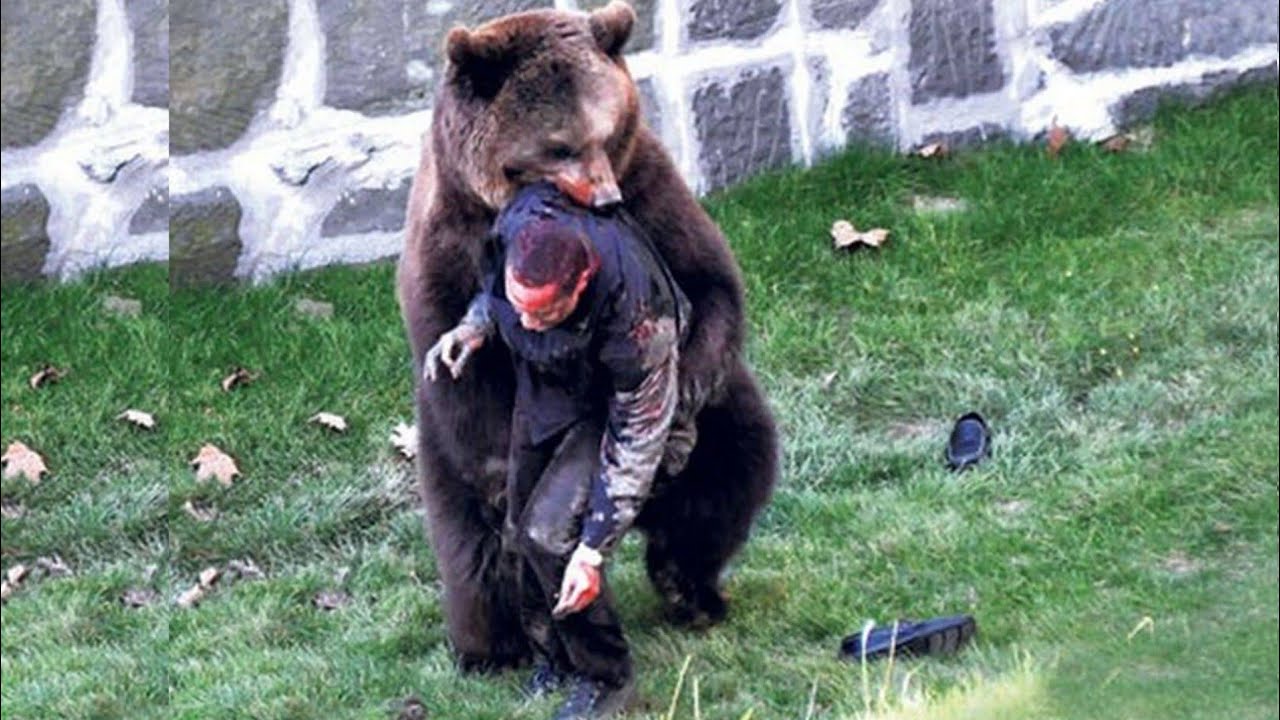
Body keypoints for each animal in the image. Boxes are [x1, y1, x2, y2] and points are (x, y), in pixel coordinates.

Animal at [396, 0, 779, 674]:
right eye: (559, 144)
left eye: (608, 129)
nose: (603, 198)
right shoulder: (448, 245)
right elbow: (463, 369)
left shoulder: (651, 191)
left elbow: (710, 284)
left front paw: (674, 408)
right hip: (441, 459)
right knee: (473, 548)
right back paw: (493, 645)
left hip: (725, 419)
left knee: (732, 469)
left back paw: (688, 586)